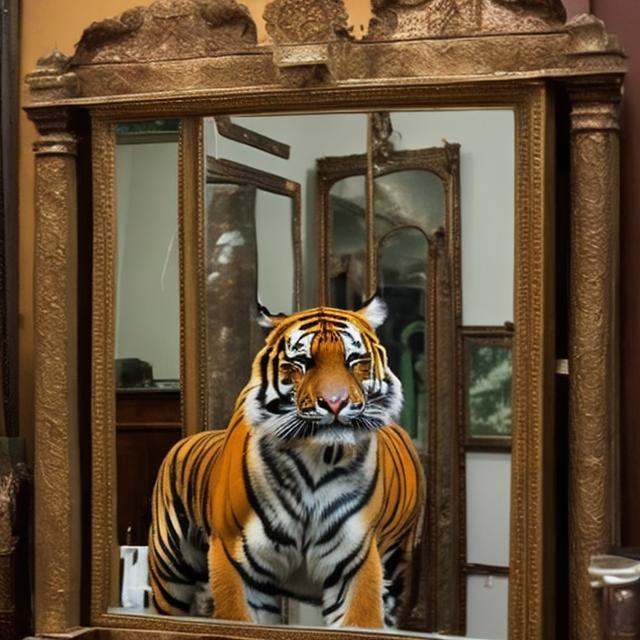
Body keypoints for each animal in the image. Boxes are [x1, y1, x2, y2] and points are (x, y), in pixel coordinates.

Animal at [148, 297, 425, 629]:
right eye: (303, 362)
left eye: (354, 360)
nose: (335, 403)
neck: (318, 460)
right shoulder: (234, 558)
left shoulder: (354, 560)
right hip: (170, 572)